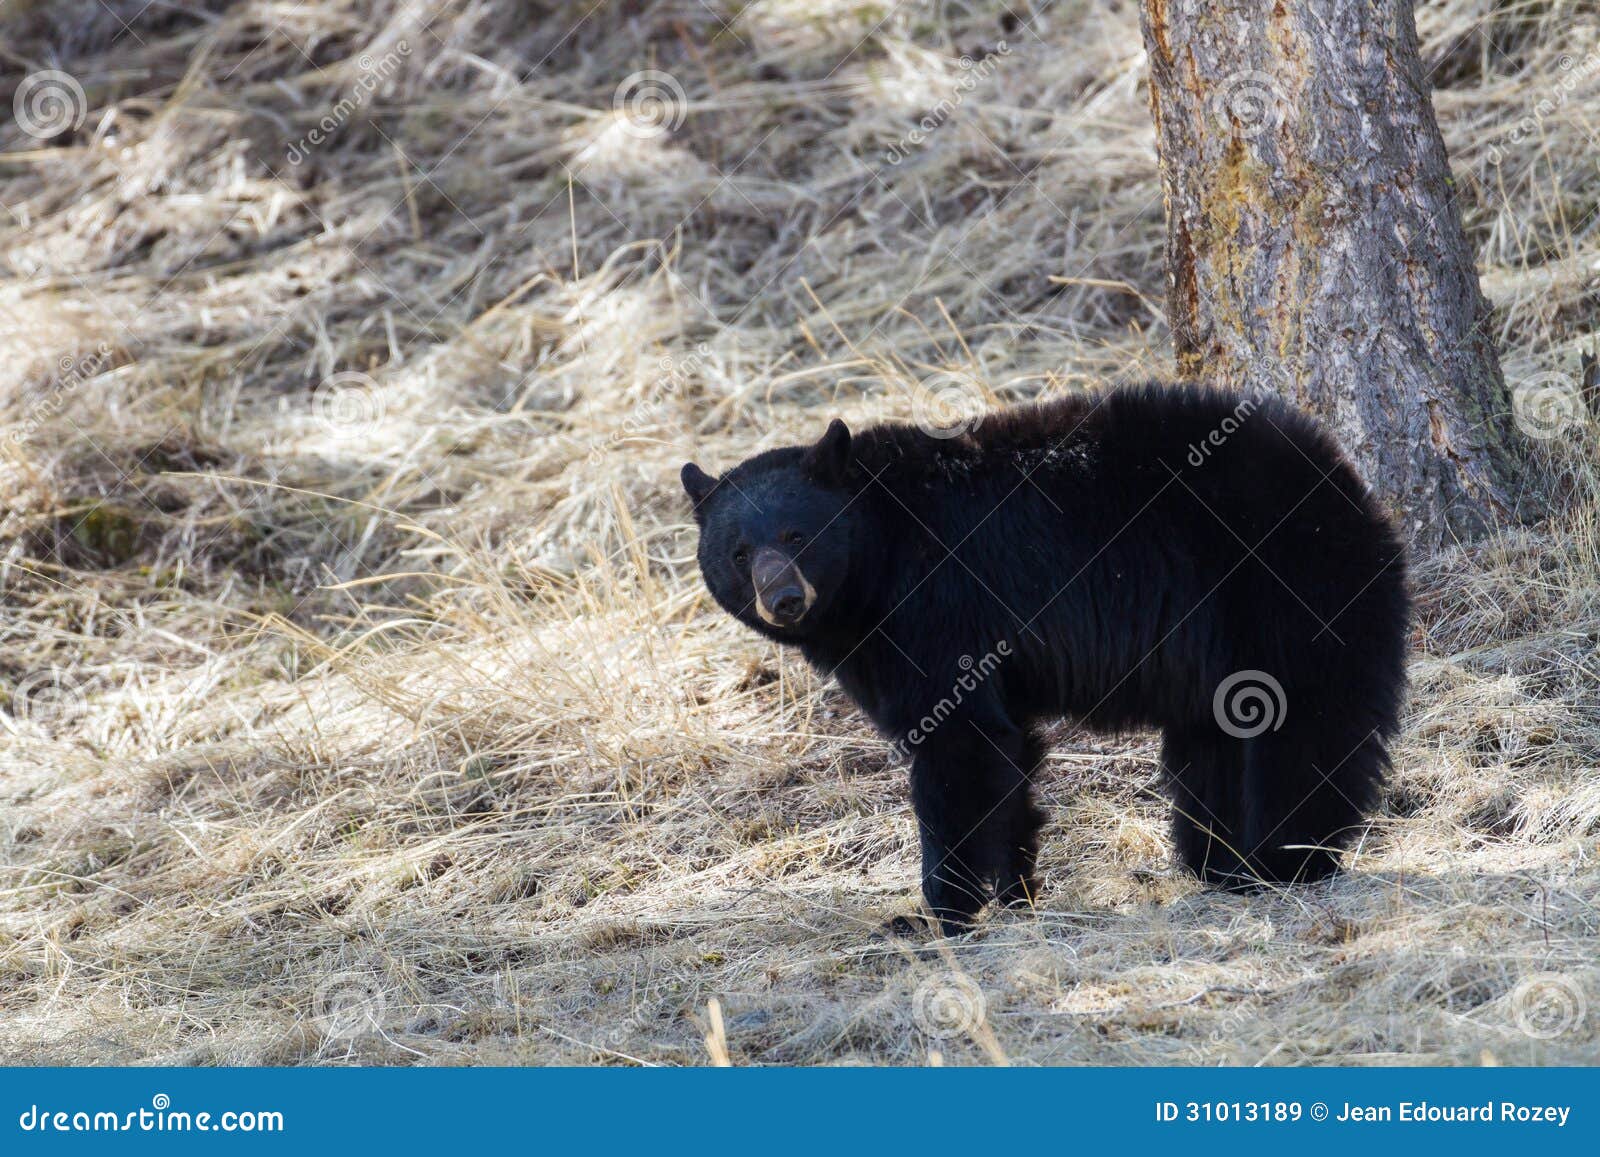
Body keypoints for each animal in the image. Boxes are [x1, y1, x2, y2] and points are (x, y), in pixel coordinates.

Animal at [681, 384, 1409, 936]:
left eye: (797, 535)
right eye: (738, 552)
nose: (783, 599)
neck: (880, 561)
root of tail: (1348, 480)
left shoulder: (938, 609)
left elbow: (958, 746)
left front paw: (936, 914)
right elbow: (1009, 755)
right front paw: (1015, 891)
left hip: (1283, 586)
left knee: (1307, 725)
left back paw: (1289, 857)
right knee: (1213, 747)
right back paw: (1218, 861)